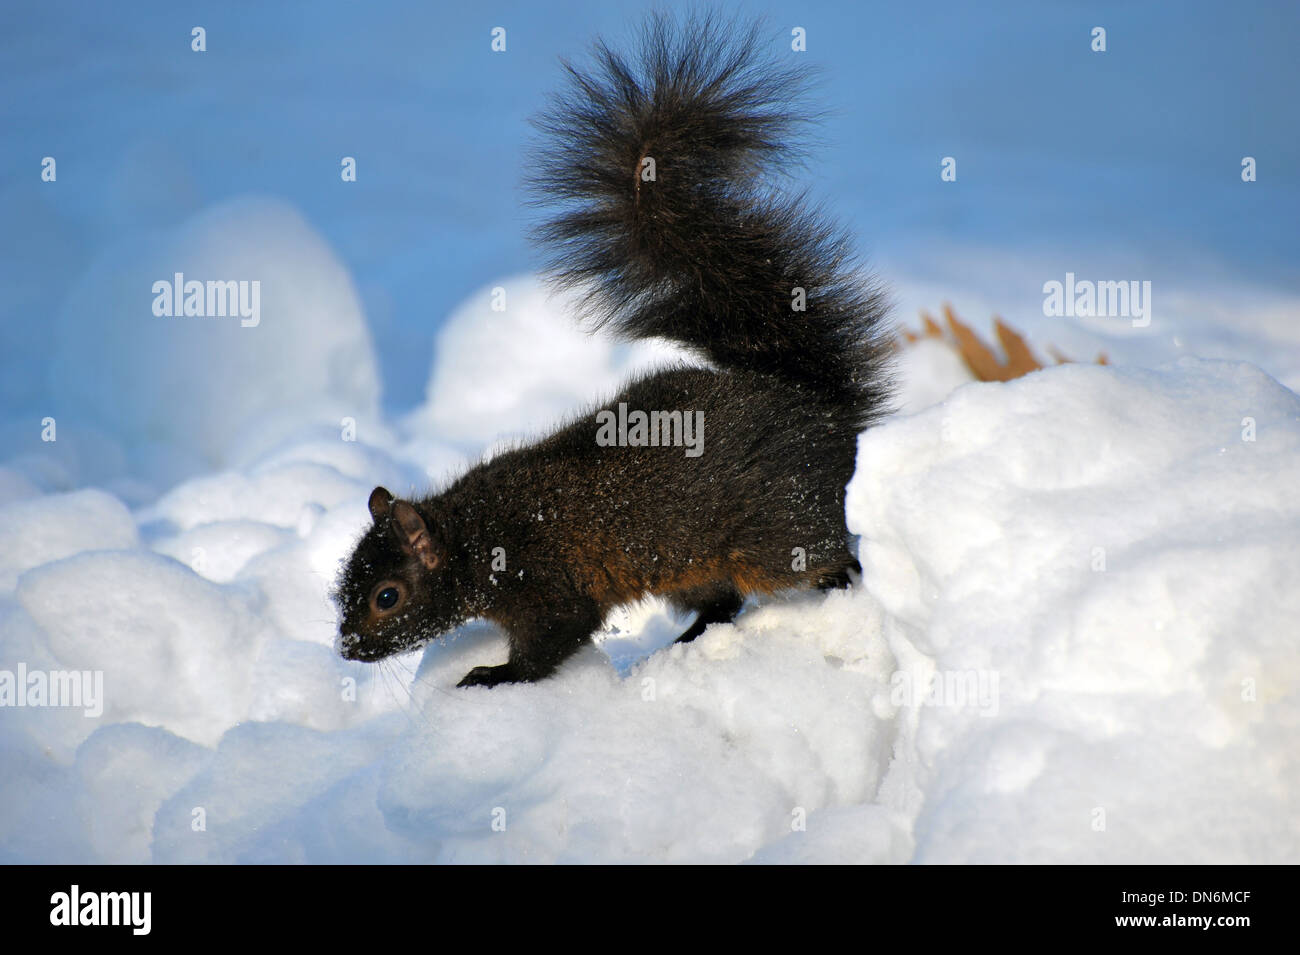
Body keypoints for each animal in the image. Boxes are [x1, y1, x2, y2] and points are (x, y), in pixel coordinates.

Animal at [333, 14, 893, 687]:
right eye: (342, 587)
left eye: (387, 596)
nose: (346, 649)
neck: (475, 533)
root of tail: (819, 407)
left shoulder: (547, 583)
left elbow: (552, 640)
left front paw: (494, 674)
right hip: (690, 563)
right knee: (721, 603)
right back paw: (682, 644)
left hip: (779, 532)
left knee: (821, 561)